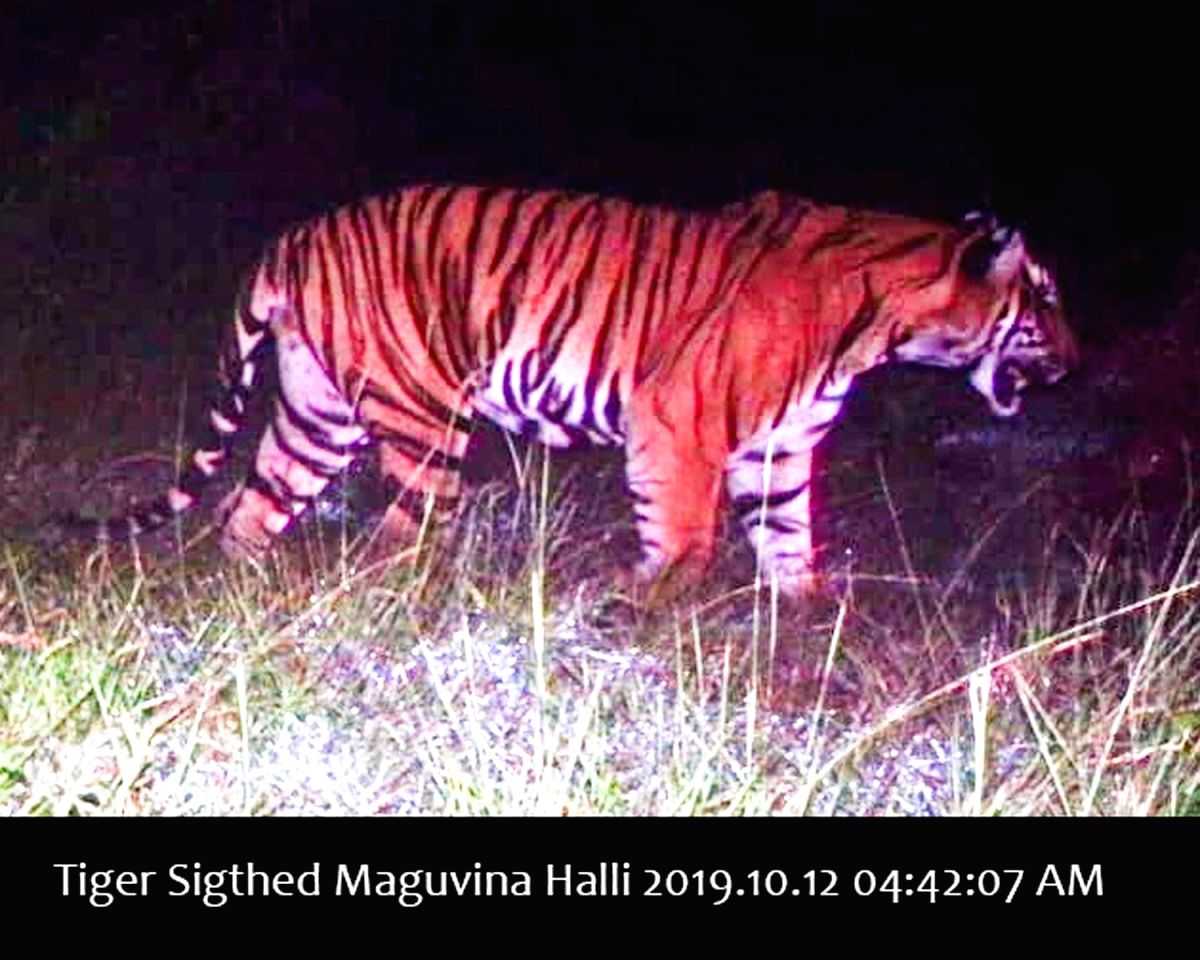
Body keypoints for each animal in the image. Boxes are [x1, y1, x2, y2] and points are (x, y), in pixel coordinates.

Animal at [61, 184, 1078, 596]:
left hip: (317, 414)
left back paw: (238, 597)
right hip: (424, 415)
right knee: (399, 535)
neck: (883, 323)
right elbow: (684, 537)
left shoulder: (780, 448)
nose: (1075, 360)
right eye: (1047, 299)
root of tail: (295, 235)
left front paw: (803, 626)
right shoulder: (679, 423)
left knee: (250, 508)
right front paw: (643, 608)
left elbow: (791, 544)